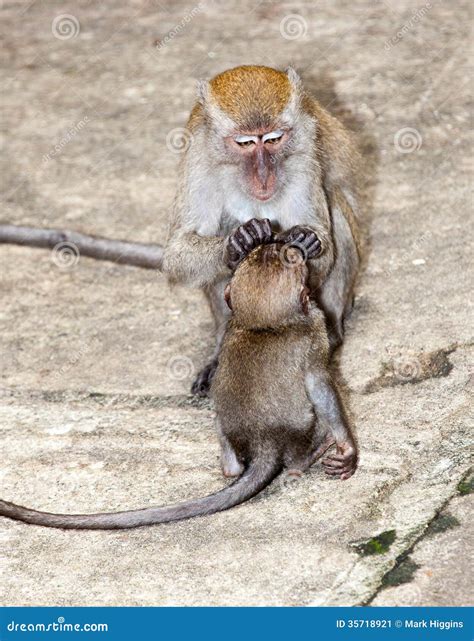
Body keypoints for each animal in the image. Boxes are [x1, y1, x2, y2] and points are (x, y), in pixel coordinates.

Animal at [0, 242, 357, 530]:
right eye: (289, 259)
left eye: (263, 253)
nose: (285, 243)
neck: (263, 325)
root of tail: (262, 446)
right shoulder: (315, 337)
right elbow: (322, 388)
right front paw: (348, 451)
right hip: (300, 433)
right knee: (296, 461)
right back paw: (315, 452)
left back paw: (229, 464)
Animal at [162, 65, 362, 396]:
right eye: (245, 143)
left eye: (273, 139)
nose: (264, 174)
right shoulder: (199, 154)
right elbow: (177, 252)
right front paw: (236, 242)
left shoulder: (304, 147)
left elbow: (323, 240)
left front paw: (306, 241)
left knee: (334, 202)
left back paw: (330, 331)